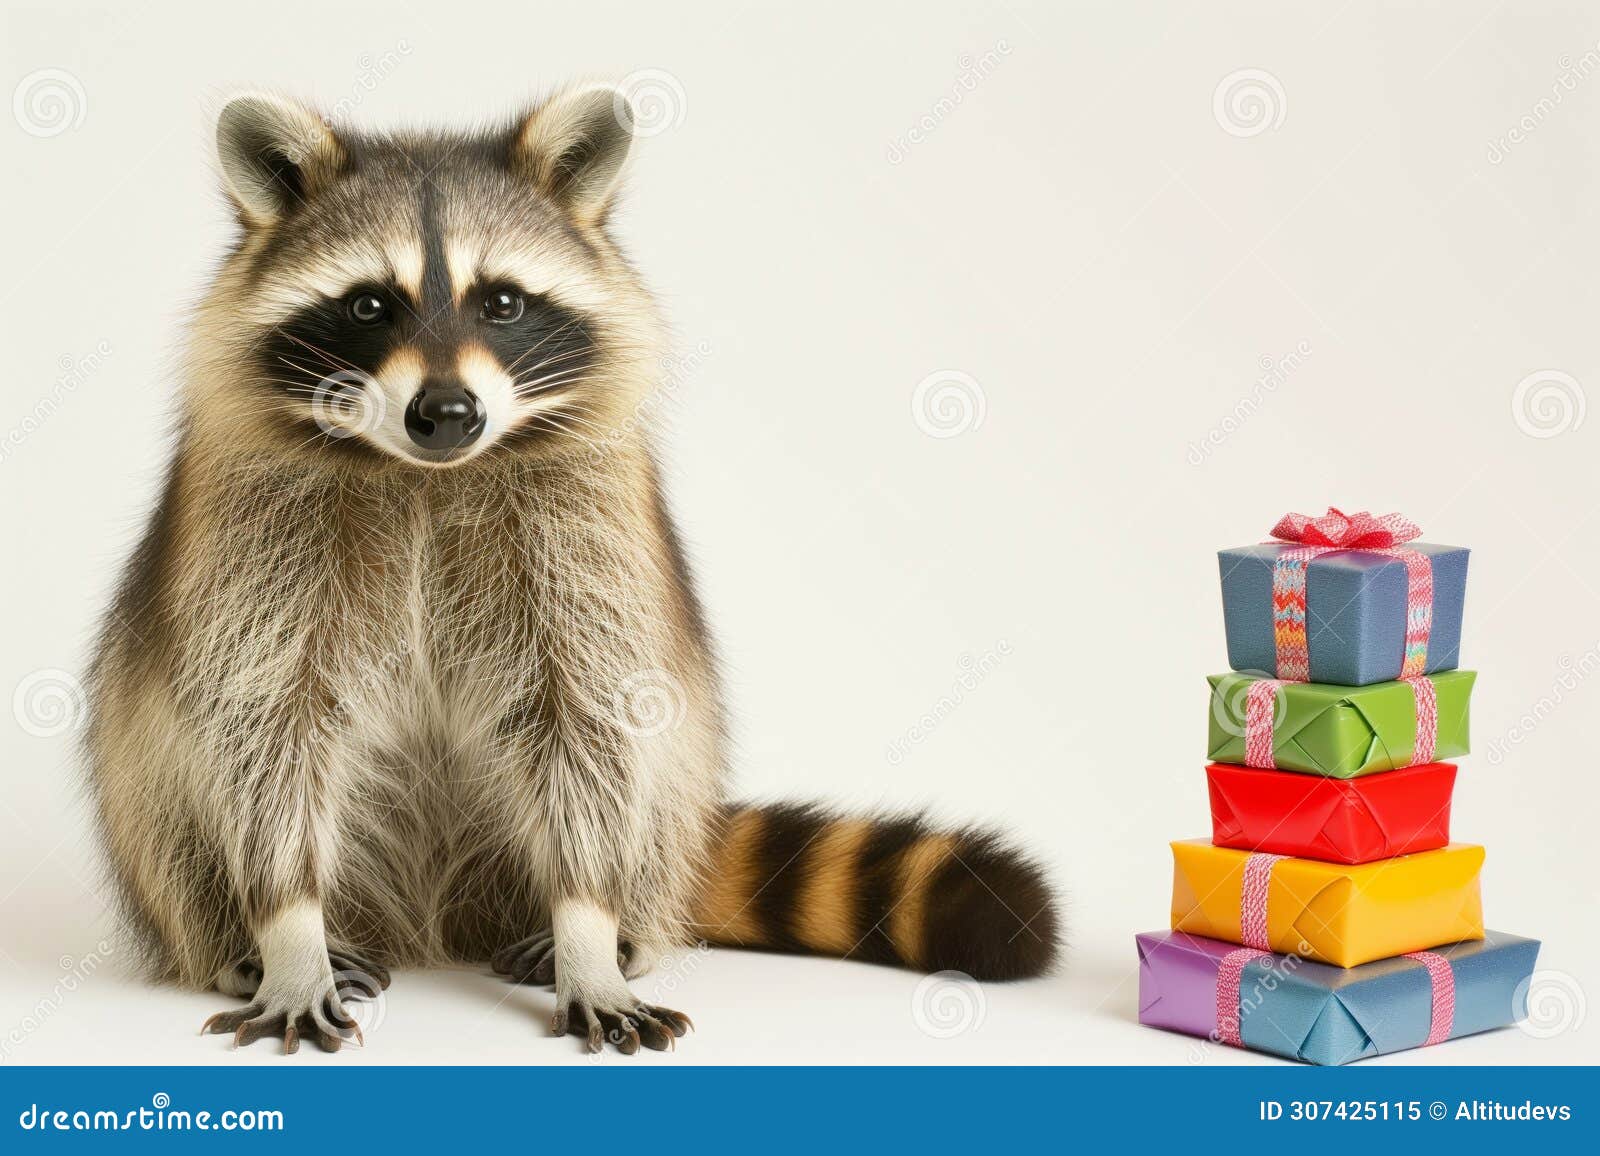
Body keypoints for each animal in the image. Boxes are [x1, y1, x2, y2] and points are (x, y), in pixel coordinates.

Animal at [83, 86, 1059, 1055]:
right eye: (368, 307)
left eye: (502, 302)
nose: (447, 413)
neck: (427, 475)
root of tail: (437, 921)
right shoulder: (260, 543)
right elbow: (261, 729)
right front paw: (290, 935)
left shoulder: (585, 533)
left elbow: (592, 723)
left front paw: (585, 932)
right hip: (145, 809)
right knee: (170, 811)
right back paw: (240, 944)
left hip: (670, 809)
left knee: (655, 793)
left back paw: (613, 929)